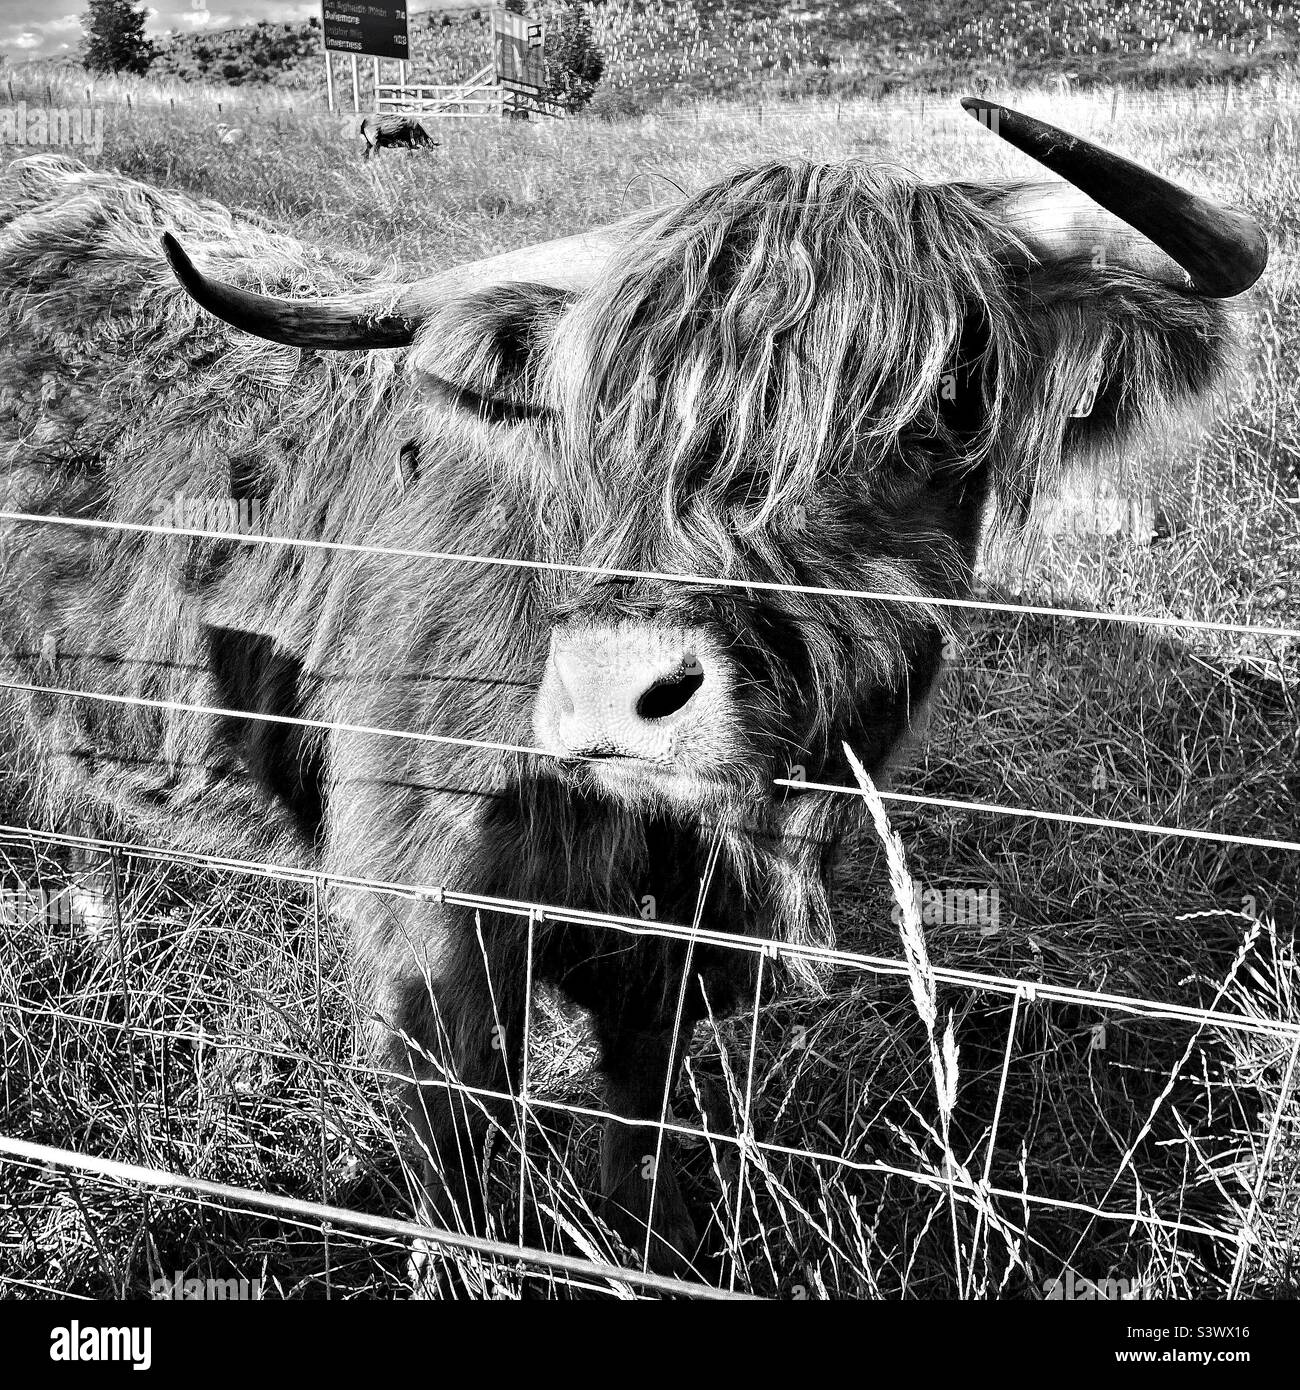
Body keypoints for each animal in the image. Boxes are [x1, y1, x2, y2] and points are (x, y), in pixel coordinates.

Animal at [0, 99, 1267, 1282]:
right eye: (606, 408)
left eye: (945, 400)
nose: (616, 691)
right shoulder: (430, 921)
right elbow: (458, 1146)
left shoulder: (686, 939)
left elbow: (645, 1115)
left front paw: (650, 1241)